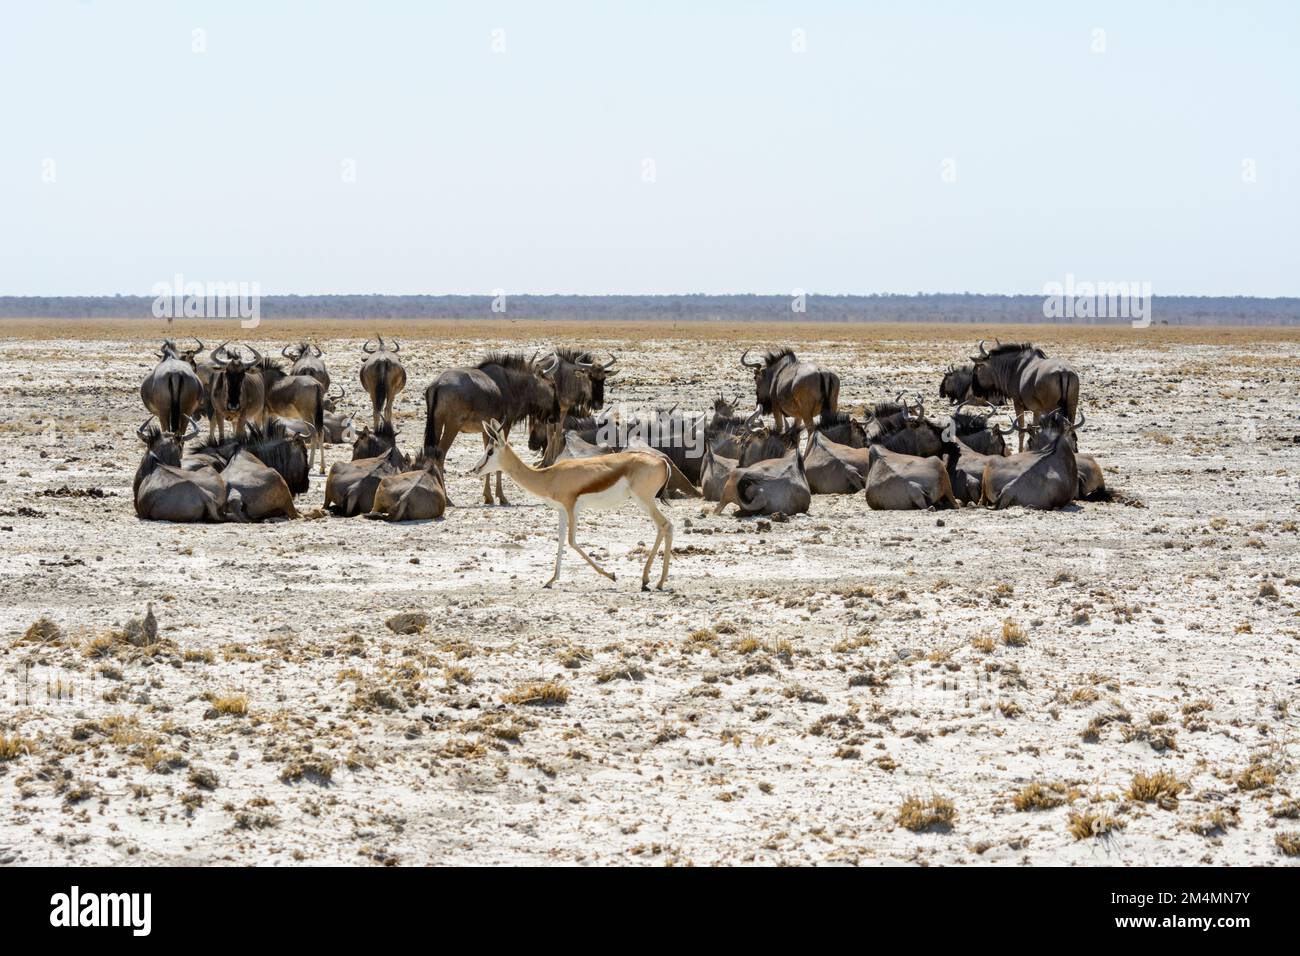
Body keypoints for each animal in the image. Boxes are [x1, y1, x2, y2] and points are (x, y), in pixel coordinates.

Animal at [471, 418, 673, 591]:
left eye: (490, 451)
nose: (475, 469)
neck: (549, 476)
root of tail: (662, 461)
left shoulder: (571, 507)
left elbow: (572, 541)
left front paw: (611, 575)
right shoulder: (561, 510)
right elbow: (561, 539)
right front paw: (551, 580)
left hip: (644, 500)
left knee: (666, 525)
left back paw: (655, 582)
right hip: (645, 502)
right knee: (662, 527)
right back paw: (650, 580)